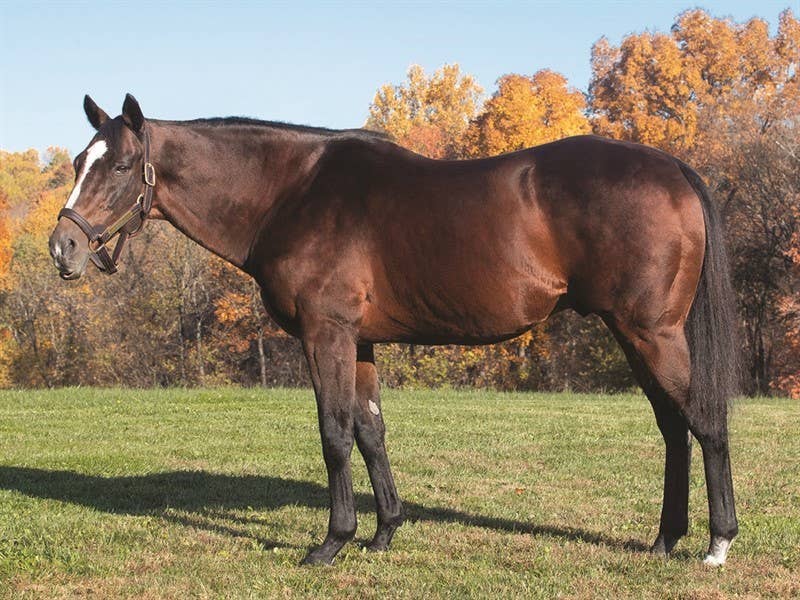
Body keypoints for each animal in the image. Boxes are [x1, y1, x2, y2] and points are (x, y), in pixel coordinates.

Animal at [48, 94, 739, 566]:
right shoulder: (359, 341)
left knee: (705, 421)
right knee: (674, 427)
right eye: (80, 160)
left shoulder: (324, 333)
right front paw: (384, 531)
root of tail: (674, 170)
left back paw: (717, 543)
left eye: (120, 166)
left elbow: (333, 433)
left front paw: (332, 542)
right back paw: (664, 539)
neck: (291, 193)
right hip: (634, 334)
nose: (62, 248)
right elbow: (370, 430)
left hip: (651, 331)